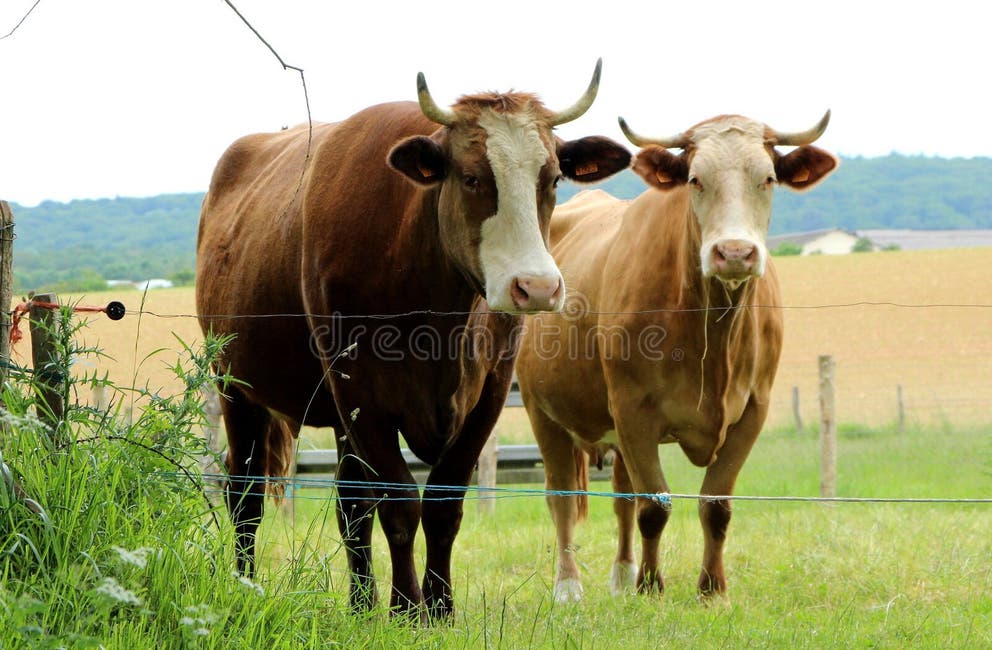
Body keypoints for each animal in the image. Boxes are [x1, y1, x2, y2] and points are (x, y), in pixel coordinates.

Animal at [195, 60, 631, 621]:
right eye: (471, 178)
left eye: (553, 178)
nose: (535, 286)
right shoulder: (359, 389)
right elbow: (400, 502)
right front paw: (406, 608)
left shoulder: (489, 392)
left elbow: (441, 504)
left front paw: (440, 607)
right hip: (236, 386)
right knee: (245, 494)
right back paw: (247, 584)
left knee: (351, 503)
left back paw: (361, 604)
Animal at [516, 111, 837, 602]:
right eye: (694, 179)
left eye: (767, 178)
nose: (735, 253)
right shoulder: (633, 410)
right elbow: (654, 505)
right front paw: (651, 587)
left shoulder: (752, 410)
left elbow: (715, 506)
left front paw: (712, 589)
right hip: (543, 411)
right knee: (561, 497)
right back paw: (569, 586)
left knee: (622, 496)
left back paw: (622, 574)